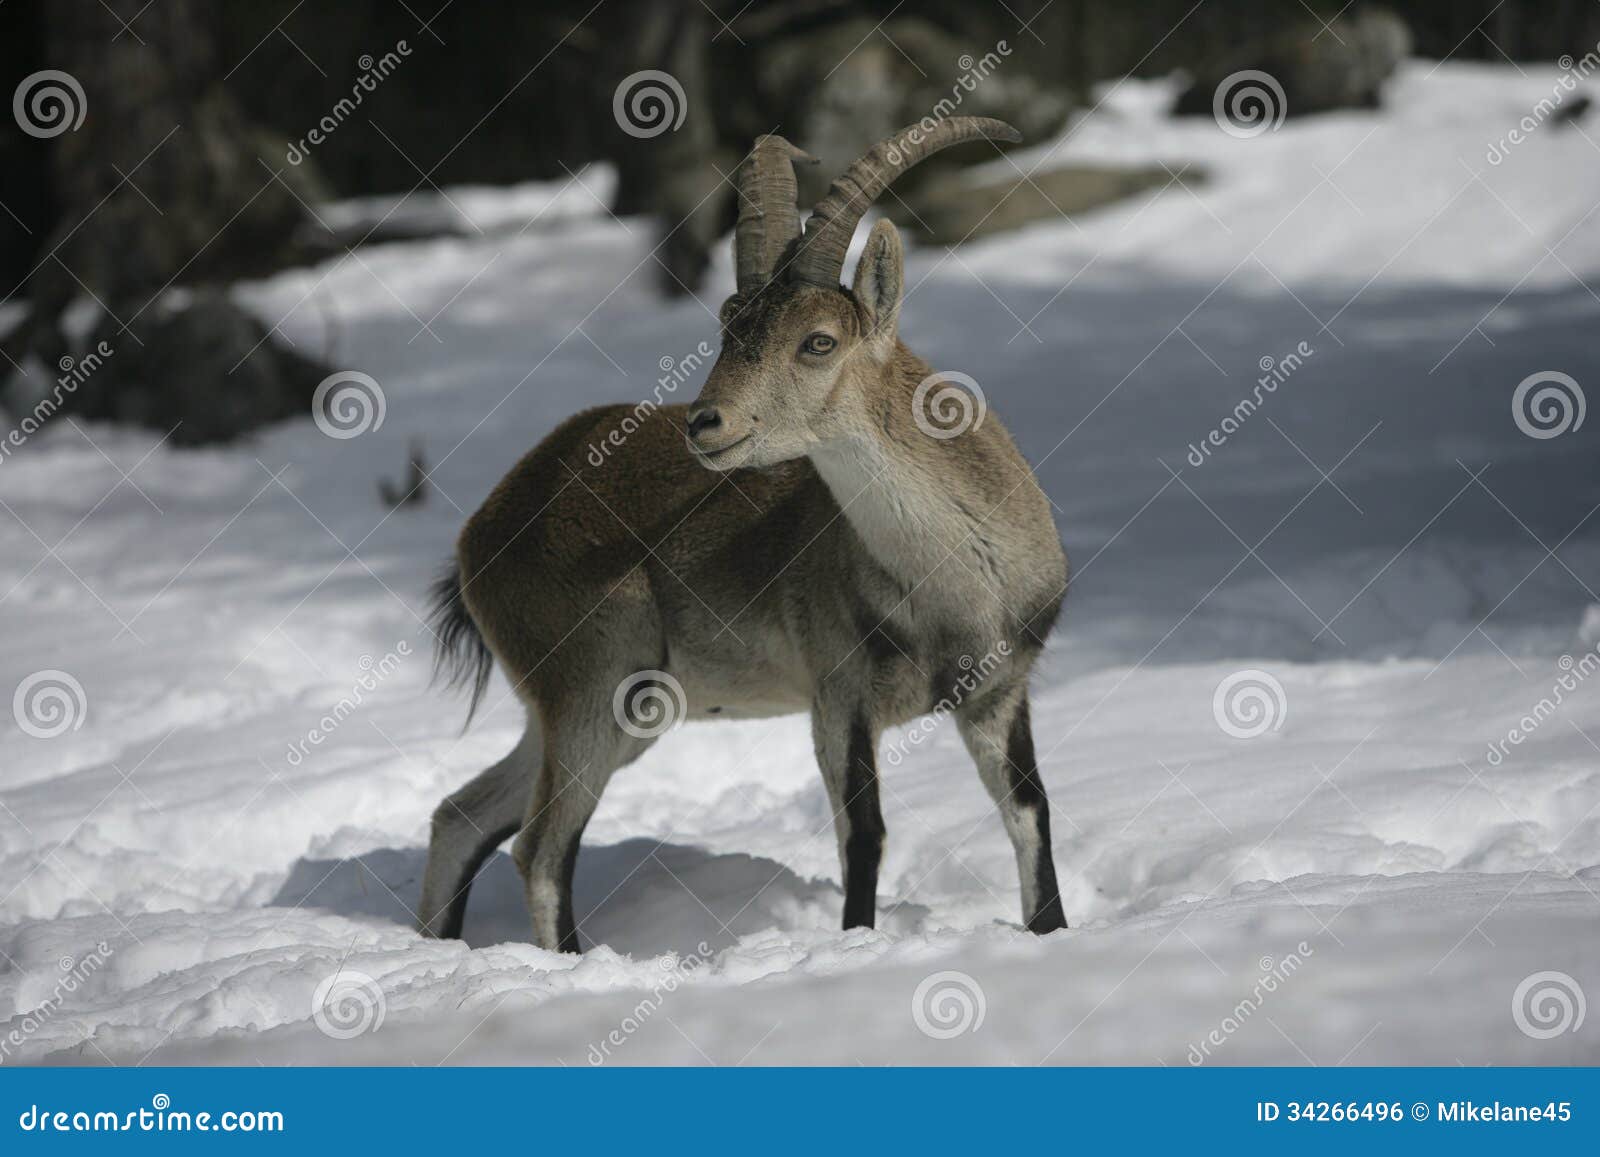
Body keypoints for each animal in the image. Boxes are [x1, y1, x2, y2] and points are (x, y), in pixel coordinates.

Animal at [420, 117, 1070, 952]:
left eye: (818, 340)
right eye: (729, 325)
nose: (706, 423)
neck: (953, 583)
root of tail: (487, 527)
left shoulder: (997, 690)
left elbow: (1029, 814)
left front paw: (1053, 934)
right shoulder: (839, 694)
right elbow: (865, 834)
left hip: (583, 710)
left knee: (462, 816)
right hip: (595, 687)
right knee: (539, 848)